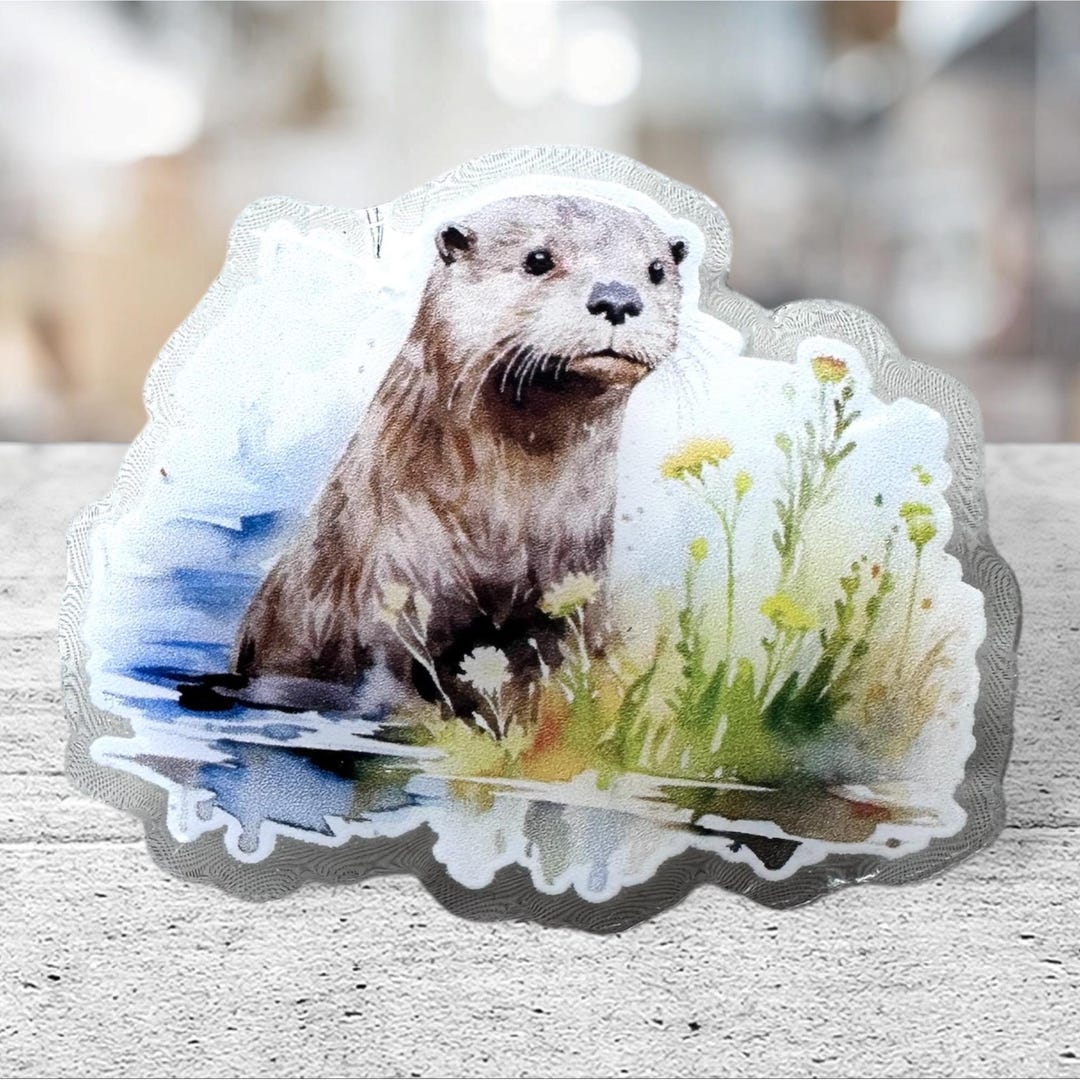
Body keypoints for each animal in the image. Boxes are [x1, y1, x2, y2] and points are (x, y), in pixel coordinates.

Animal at [203, 195, 688, 719]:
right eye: (538, 259)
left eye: (656, 269)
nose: (617, 298)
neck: (502, 531)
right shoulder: (393, 591)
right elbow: (391, 686)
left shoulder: (580, 590)